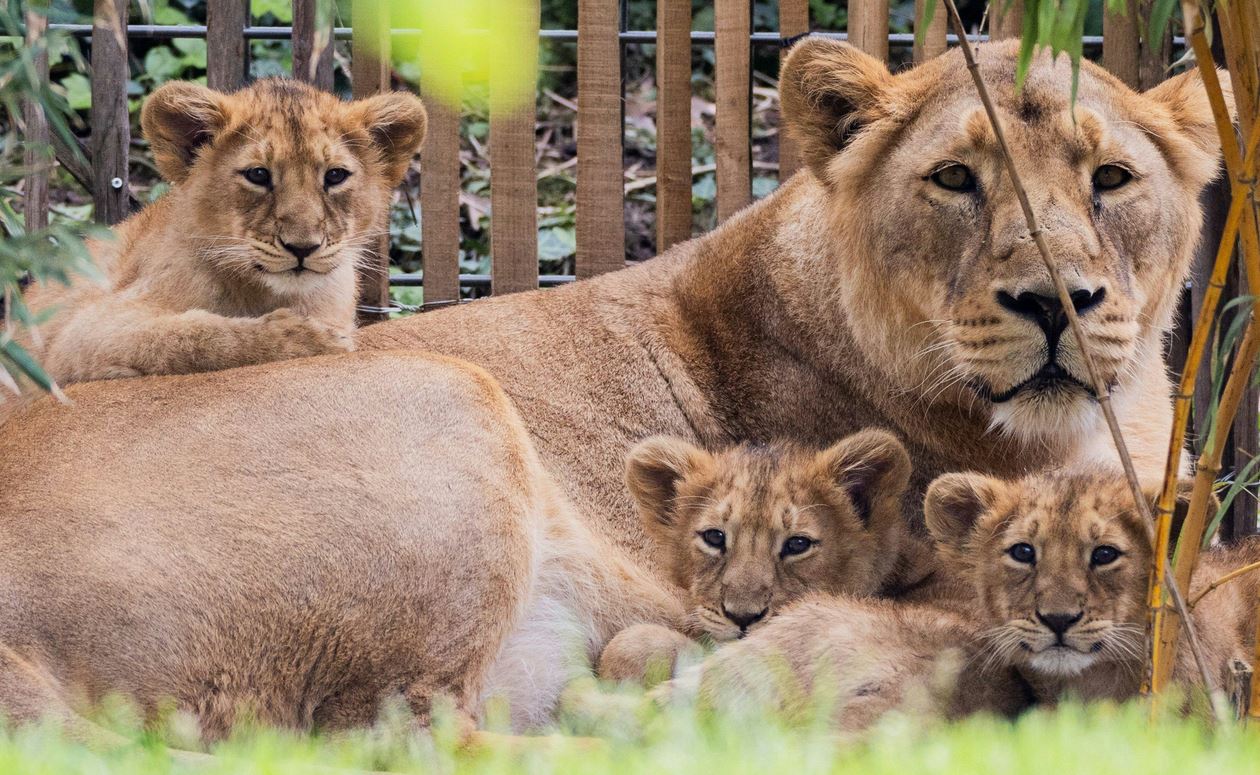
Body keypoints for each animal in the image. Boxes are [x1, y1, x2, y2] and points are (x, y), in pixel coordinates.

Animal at [16, 78, 427, 386]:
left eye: (335, 176)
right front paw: (306, 339)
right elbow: (192, 336)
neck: (266, 294)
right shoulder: (79, 338)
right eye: (258, 175)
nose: (302, 247)